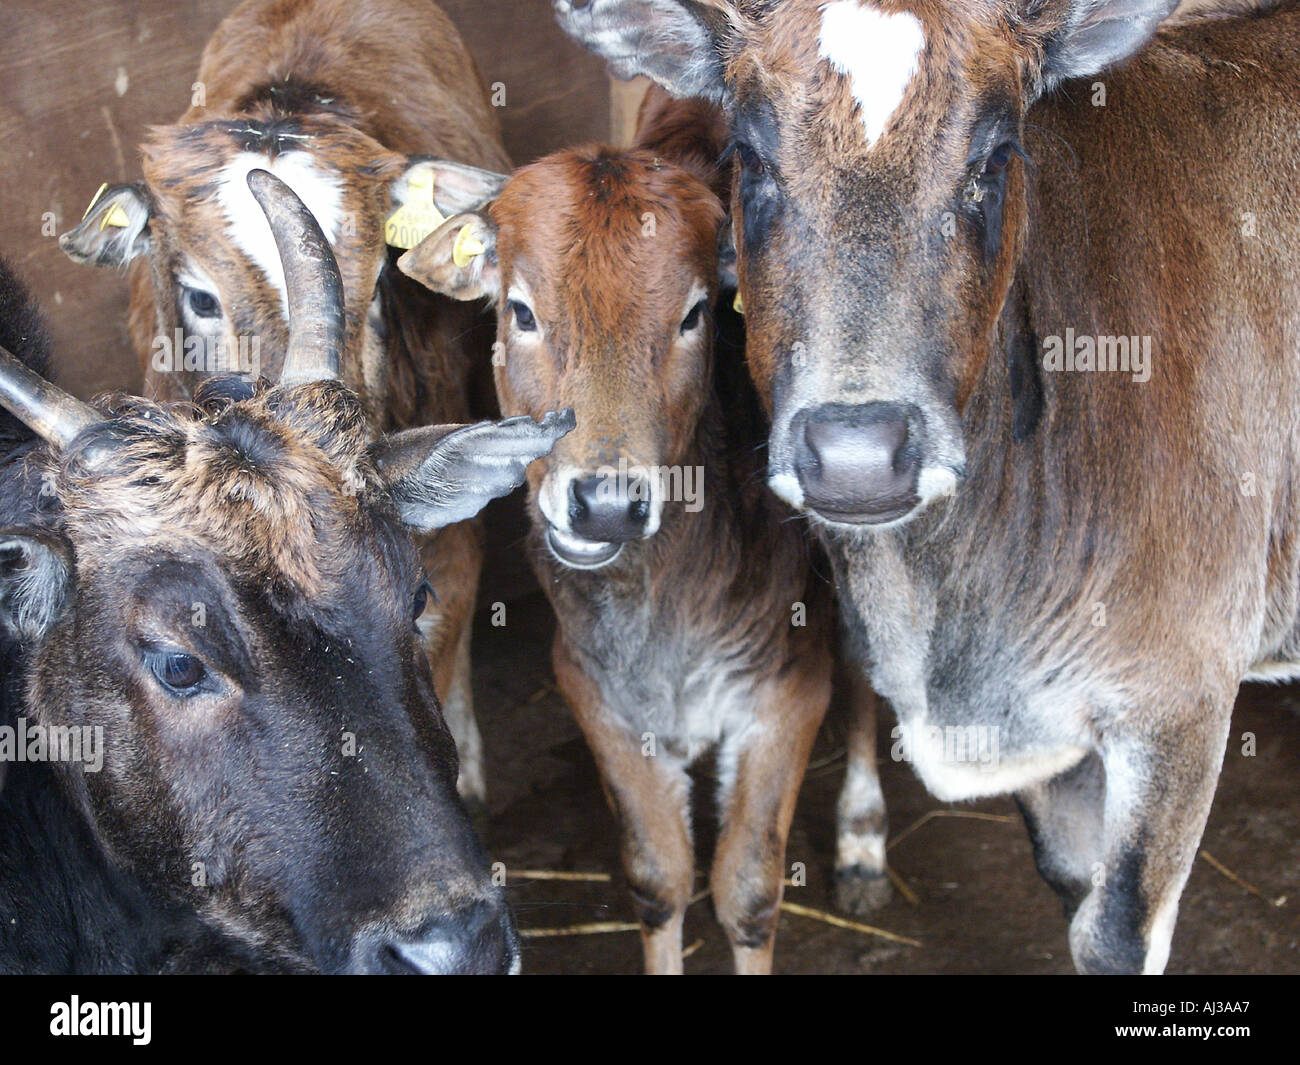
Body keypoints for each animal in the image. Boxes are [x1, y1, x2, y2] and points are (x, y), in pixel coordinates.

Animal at [396, 93, 875, 972]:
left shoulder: (787, 687)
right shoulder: (595, 687)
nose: (608, 503)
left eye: (695, 314)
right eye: (520, 309)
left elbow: (748, 889)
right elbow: (660, 878)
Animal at [555, 0, 1300, 973]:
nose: (857, 451)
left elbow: (1113, 930)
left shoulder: (1183, 696)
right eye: (750, 156)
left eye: (995, 157)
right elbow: (1070, 885)